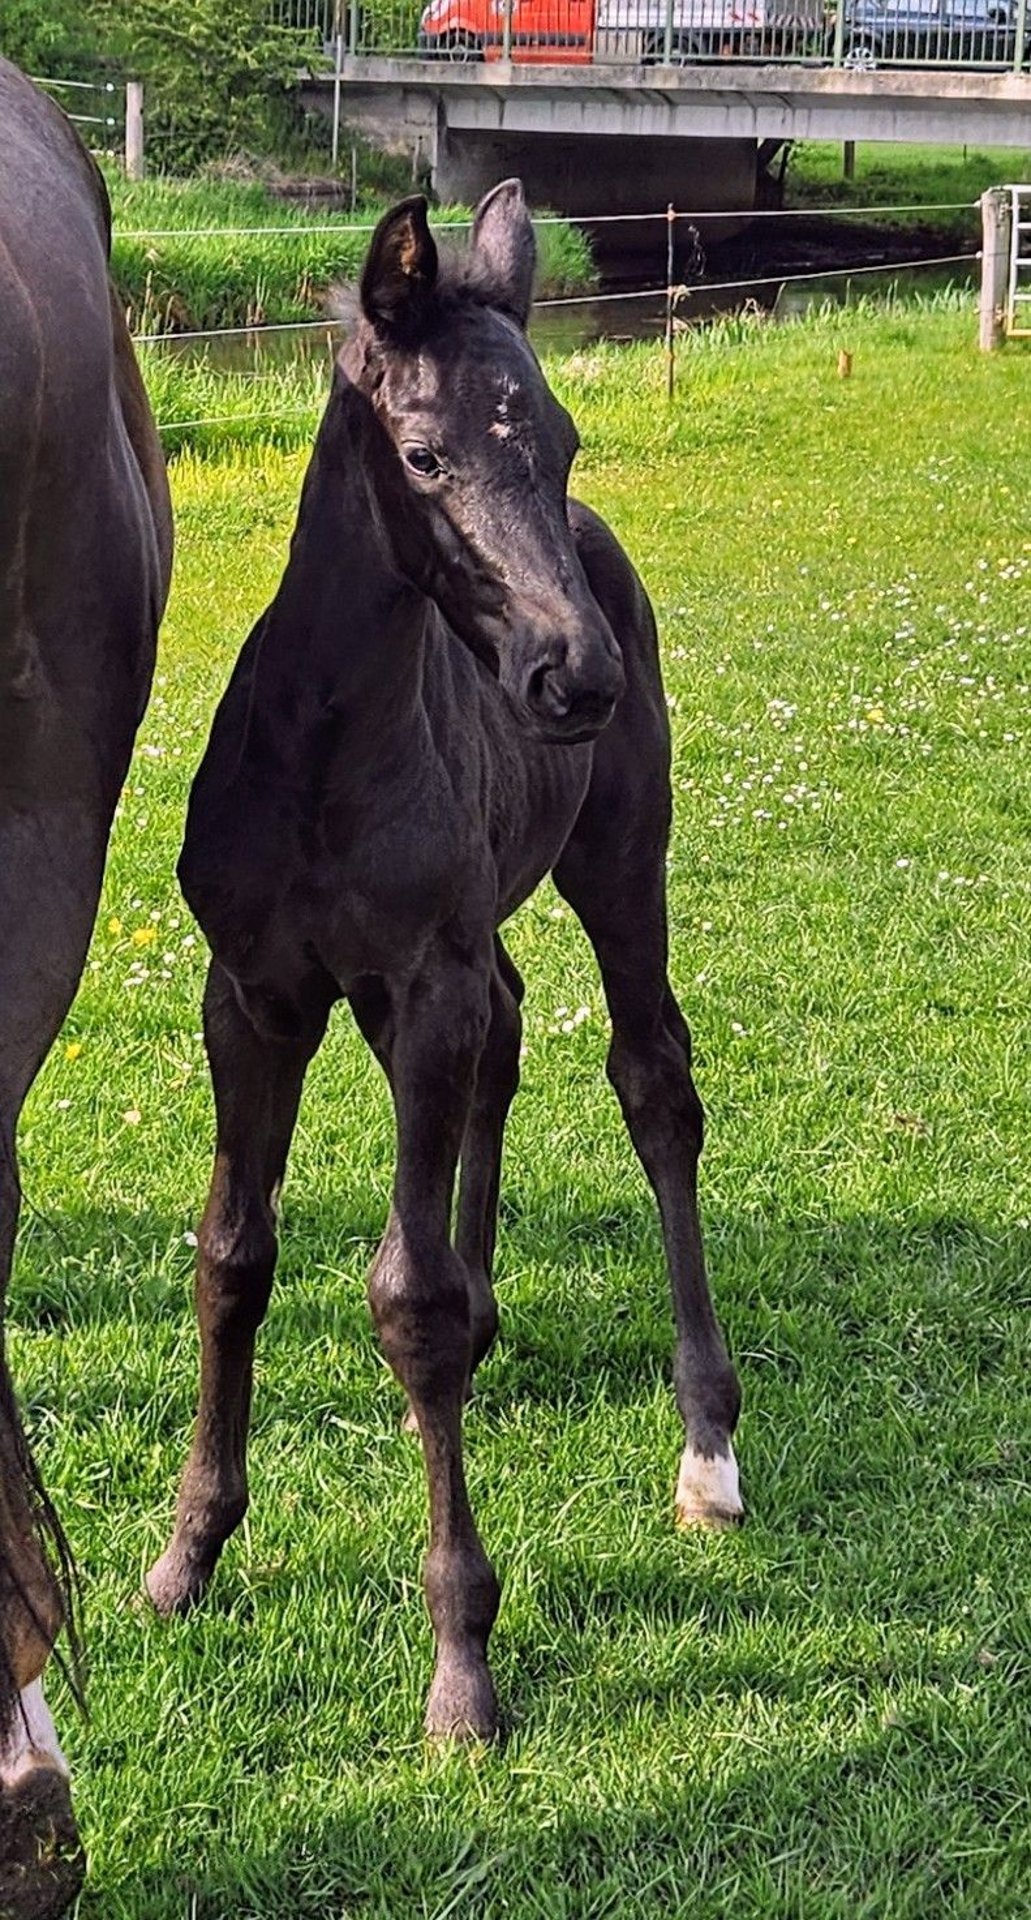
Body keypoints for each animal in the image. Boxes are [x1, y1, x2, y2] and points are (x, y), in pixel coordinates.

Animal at [146, 181, 741, 1741]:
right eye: (421, 453)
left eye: (563, 437)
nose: (571, 677)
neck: (321, 750)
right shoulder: (255, 997)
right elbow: (233, 1253)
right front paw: (186, 1553)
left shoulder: (418, 988)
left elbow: (400, 1301)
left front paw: (461, 1659)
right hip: (460, 951)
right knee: (513, 1039)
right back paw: (489, 1313)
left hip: (615, 866)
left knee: (653, 1085)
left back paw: (707, 1445)